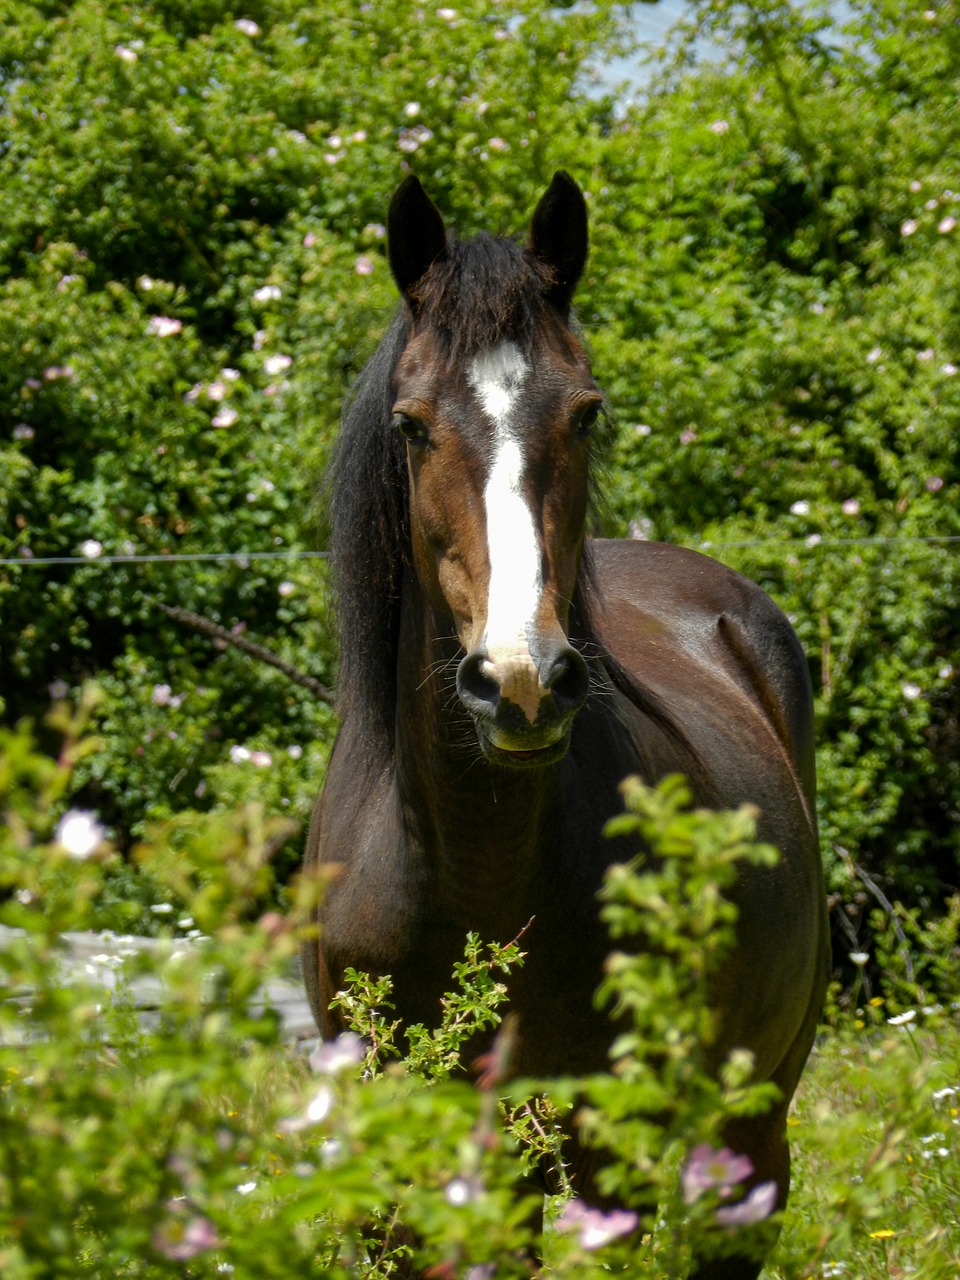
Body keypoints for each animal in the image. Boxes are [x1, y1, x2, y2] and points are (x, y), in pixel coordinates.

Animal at [302, 171, 829, 1280]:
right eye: (411, 425)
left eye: (585, 415)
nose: (523, 680)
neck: (472, 868)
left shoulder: (598, 1152)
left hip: (751, 1128)